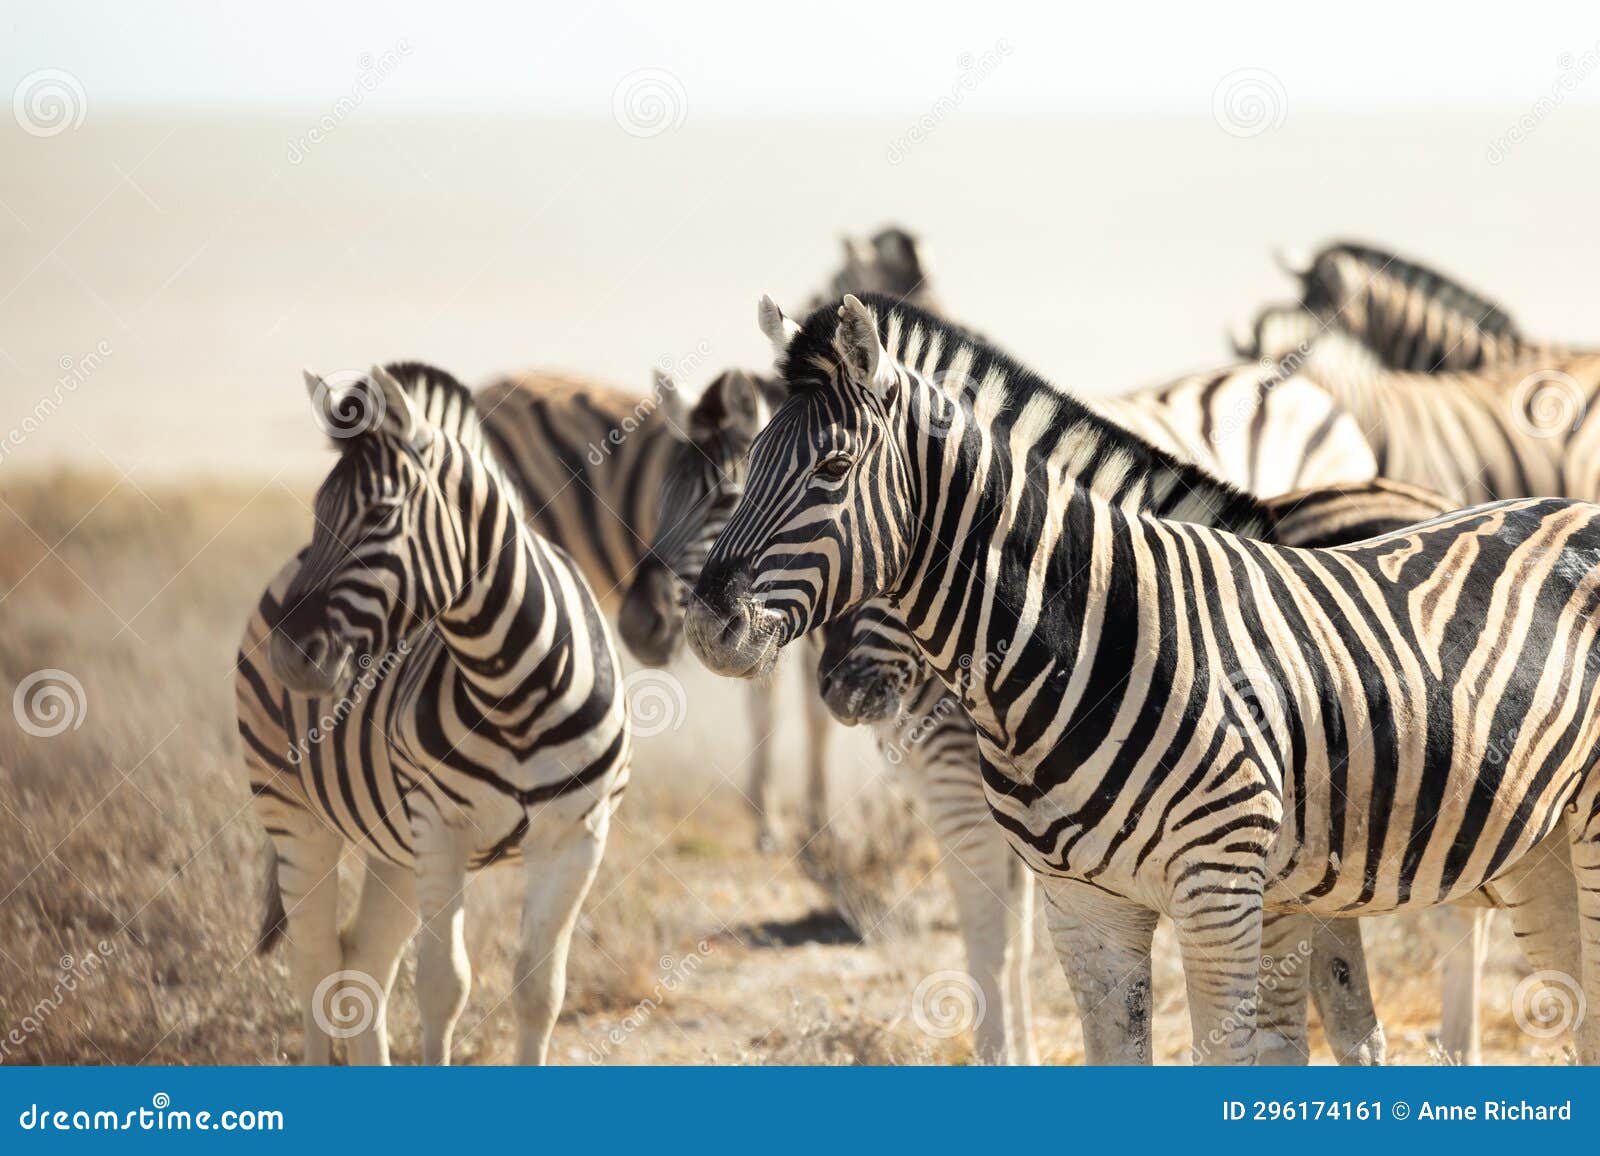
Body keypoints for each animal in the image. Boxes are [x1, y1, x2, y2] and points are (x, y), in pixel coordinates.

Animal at [236, 362, 630, 1065]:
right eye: (317, 512)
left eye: (381, 513)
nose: (289, 655)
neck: (517, 688)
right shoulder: (441, 824)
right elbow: (444, 985)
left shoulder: (579, 835)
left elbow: (540, 988)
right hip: (294, 814)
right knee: (316, 965)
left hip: (392, 846)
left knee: (363, 962)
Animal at [686, 292, 1600, 1066]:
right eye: (749, 465)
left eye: (833, 470)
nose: (706, 623)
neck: (1088, 643)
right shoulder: (1086, 908)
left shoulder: (1224, 893)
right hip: (1541, 849)